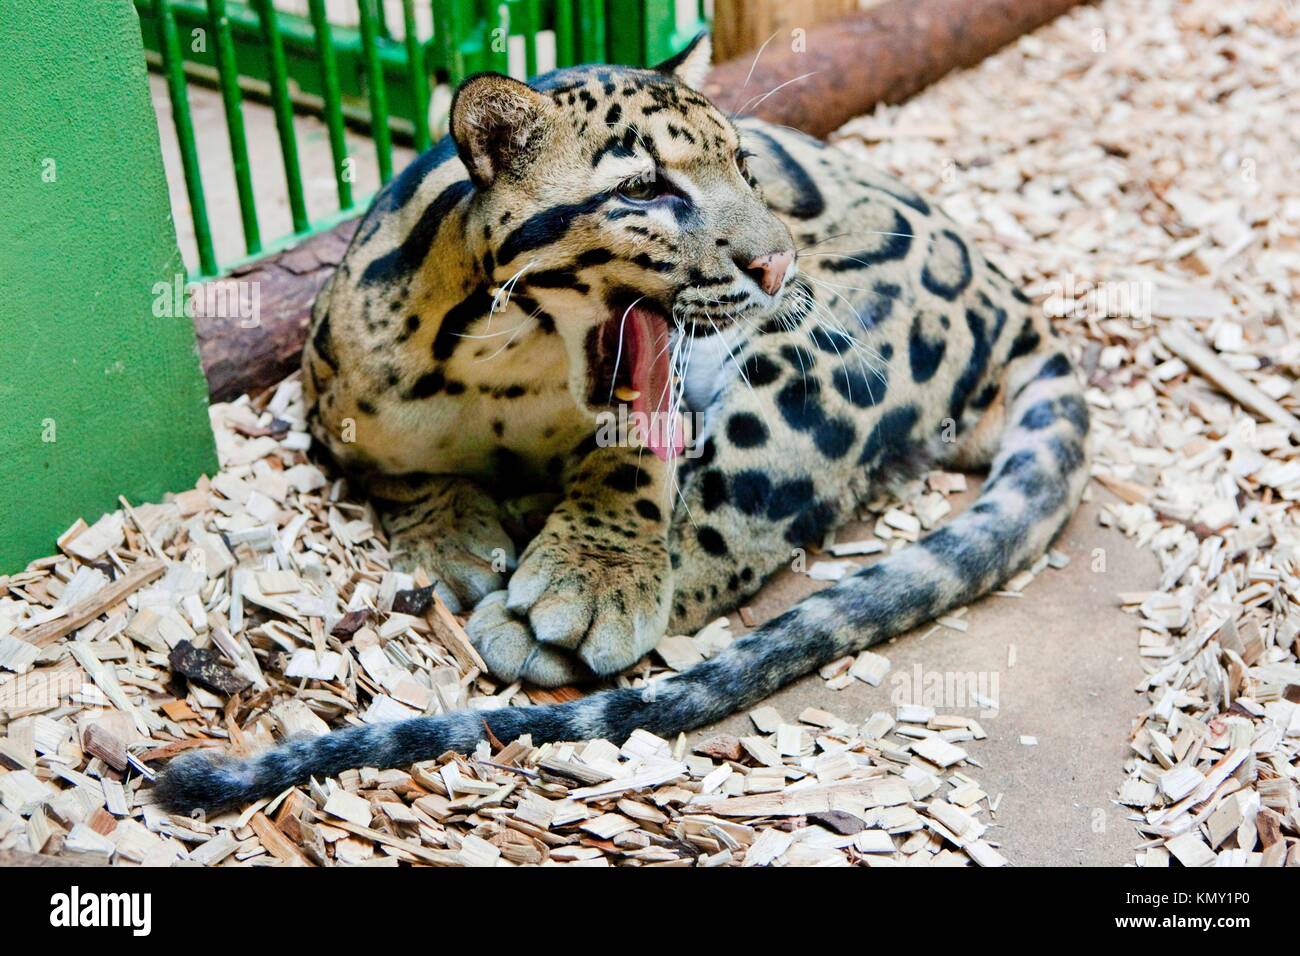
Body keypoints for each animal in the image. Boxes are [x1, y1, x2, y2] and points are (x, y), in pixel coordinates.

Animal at [157, 35, 1089, 812]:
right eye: (645, 189)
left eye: (745, 166)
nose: (778, 261)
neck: (503, 370)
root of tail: (1014, 303)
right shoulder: (332, 395)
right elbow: (401, 470)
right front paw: (453, 534)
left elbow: (634, 470)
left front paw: (590, 582)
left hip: (807, 369)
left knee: (725, 529)